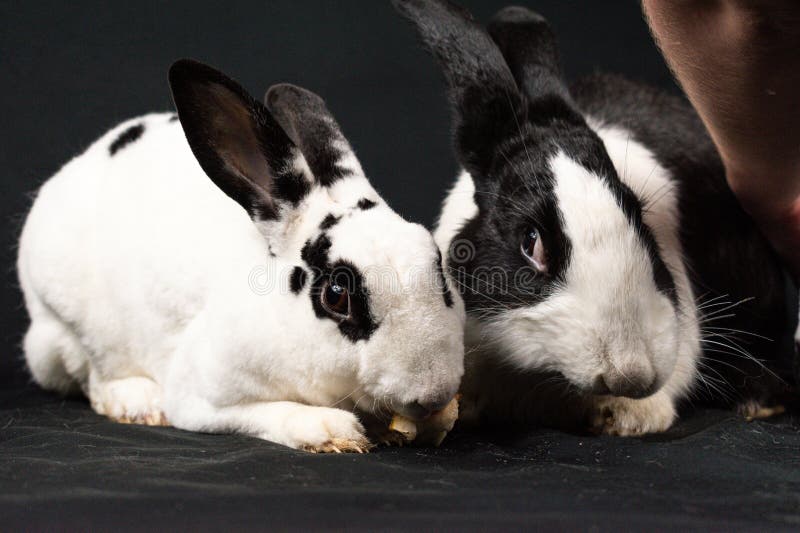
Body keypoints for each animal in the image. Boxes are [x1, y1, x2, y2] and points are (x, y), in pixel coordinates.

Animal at [16, 59, 466, 452]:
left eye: (438, 265)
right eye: (336, 295)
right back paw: (137, 402)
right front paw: (330, 430)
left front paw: (436, 422)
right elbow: (267, 412)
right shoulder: (201, 397)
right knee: (94, 375)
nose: (433, 392)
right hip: (69, 329)